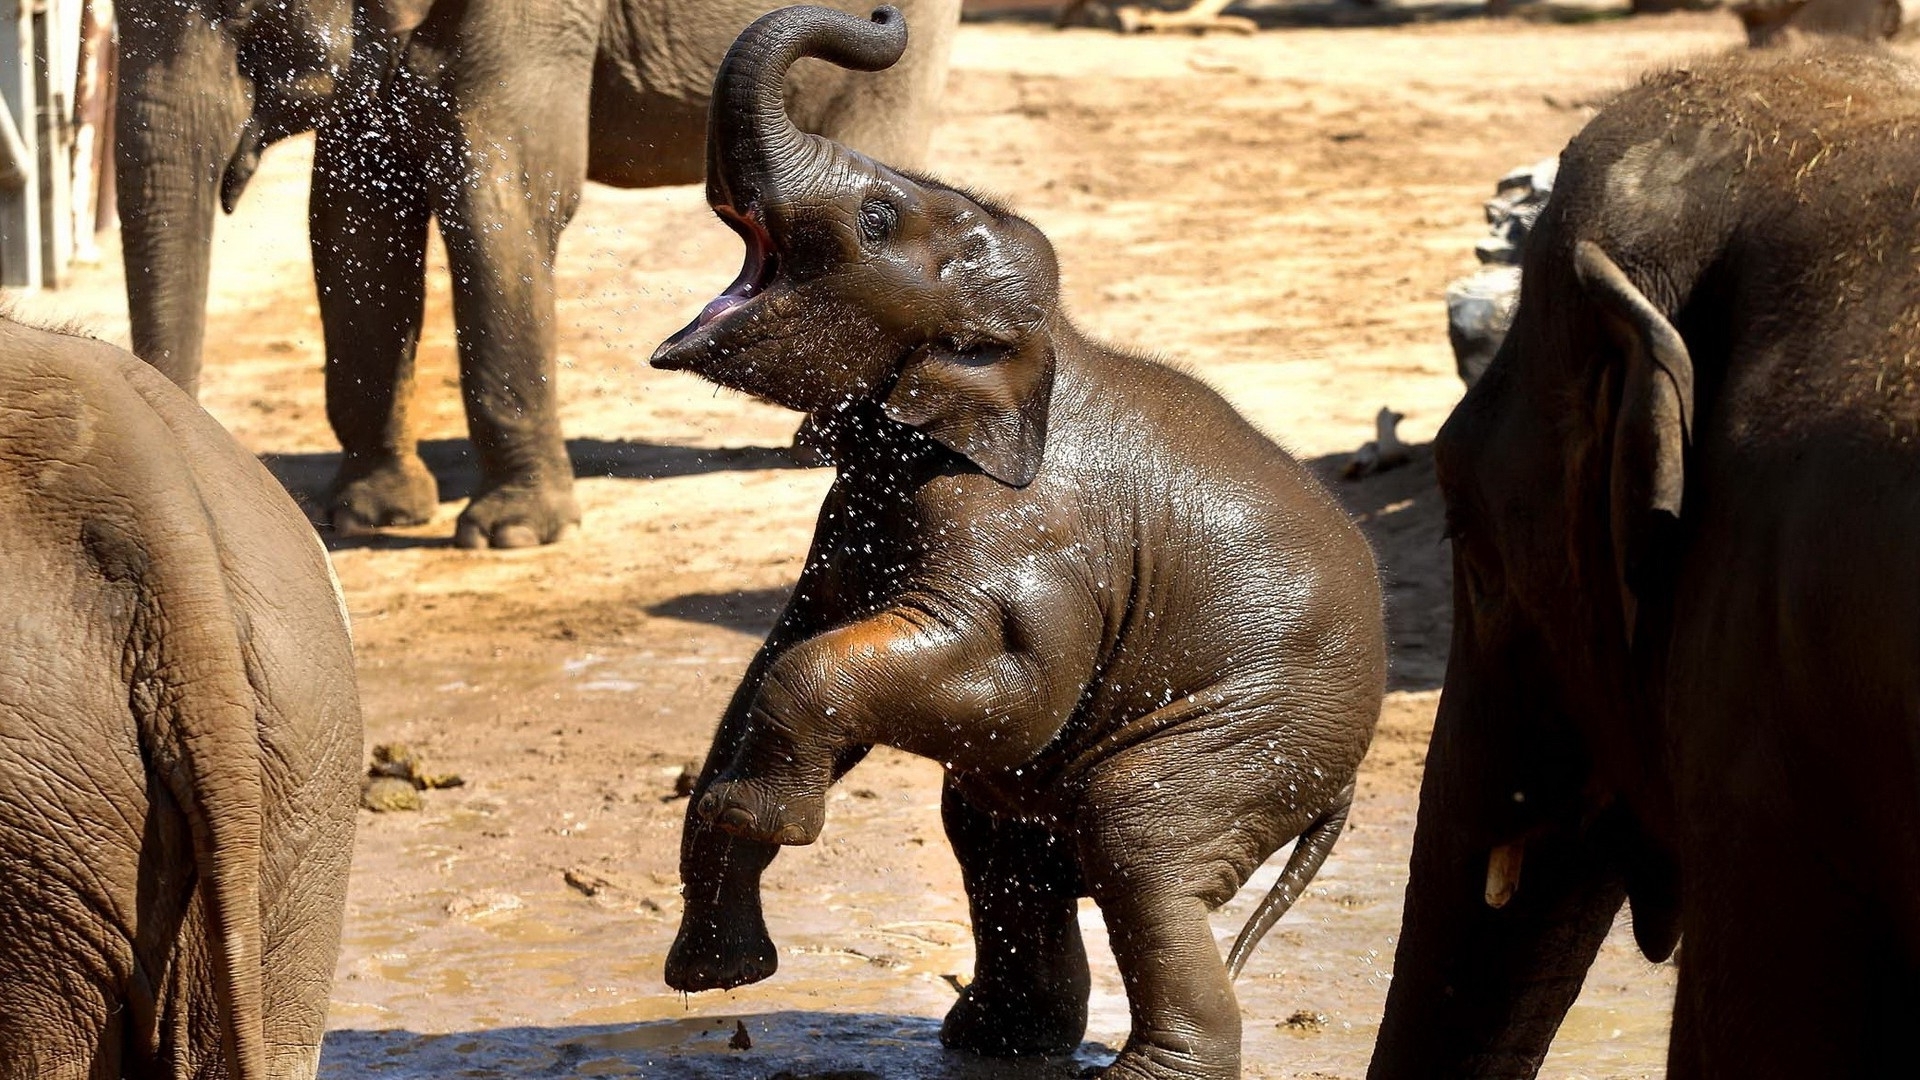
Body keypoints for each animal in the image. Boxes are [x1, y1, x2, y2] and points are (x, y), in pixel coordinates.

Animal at [650, 9, 1386, 1079]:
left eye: (878, 219)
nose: (884, 20)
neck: (1035, 347)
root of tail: (1347, 773)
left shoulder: (1029, 530)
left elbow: (1011, 680)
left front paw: (766, 821)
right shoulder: (857, 512)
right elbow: (792, 648)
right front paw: (719, 955)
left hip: (1256, 732)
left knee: (1137, 843)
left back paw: (1137, 1071)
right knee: (997, 841)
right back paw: (995, 1042)